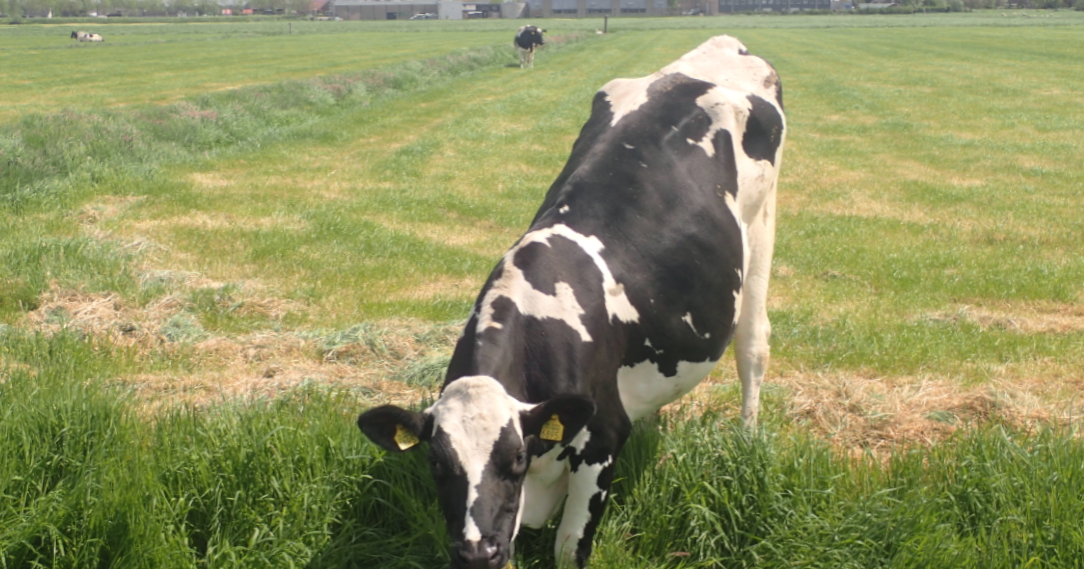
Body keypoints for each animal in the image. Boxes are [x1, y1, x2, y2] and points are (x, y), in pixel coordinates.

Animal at [357, 35, 785, 569]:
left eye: (516, 457)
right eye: (436, 462)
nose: (476, 552)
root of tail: (722, 45)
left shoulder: (601, 438)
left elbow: (569, 547)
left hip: (761, 227)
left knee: (753, 344)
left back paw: (746, 437)